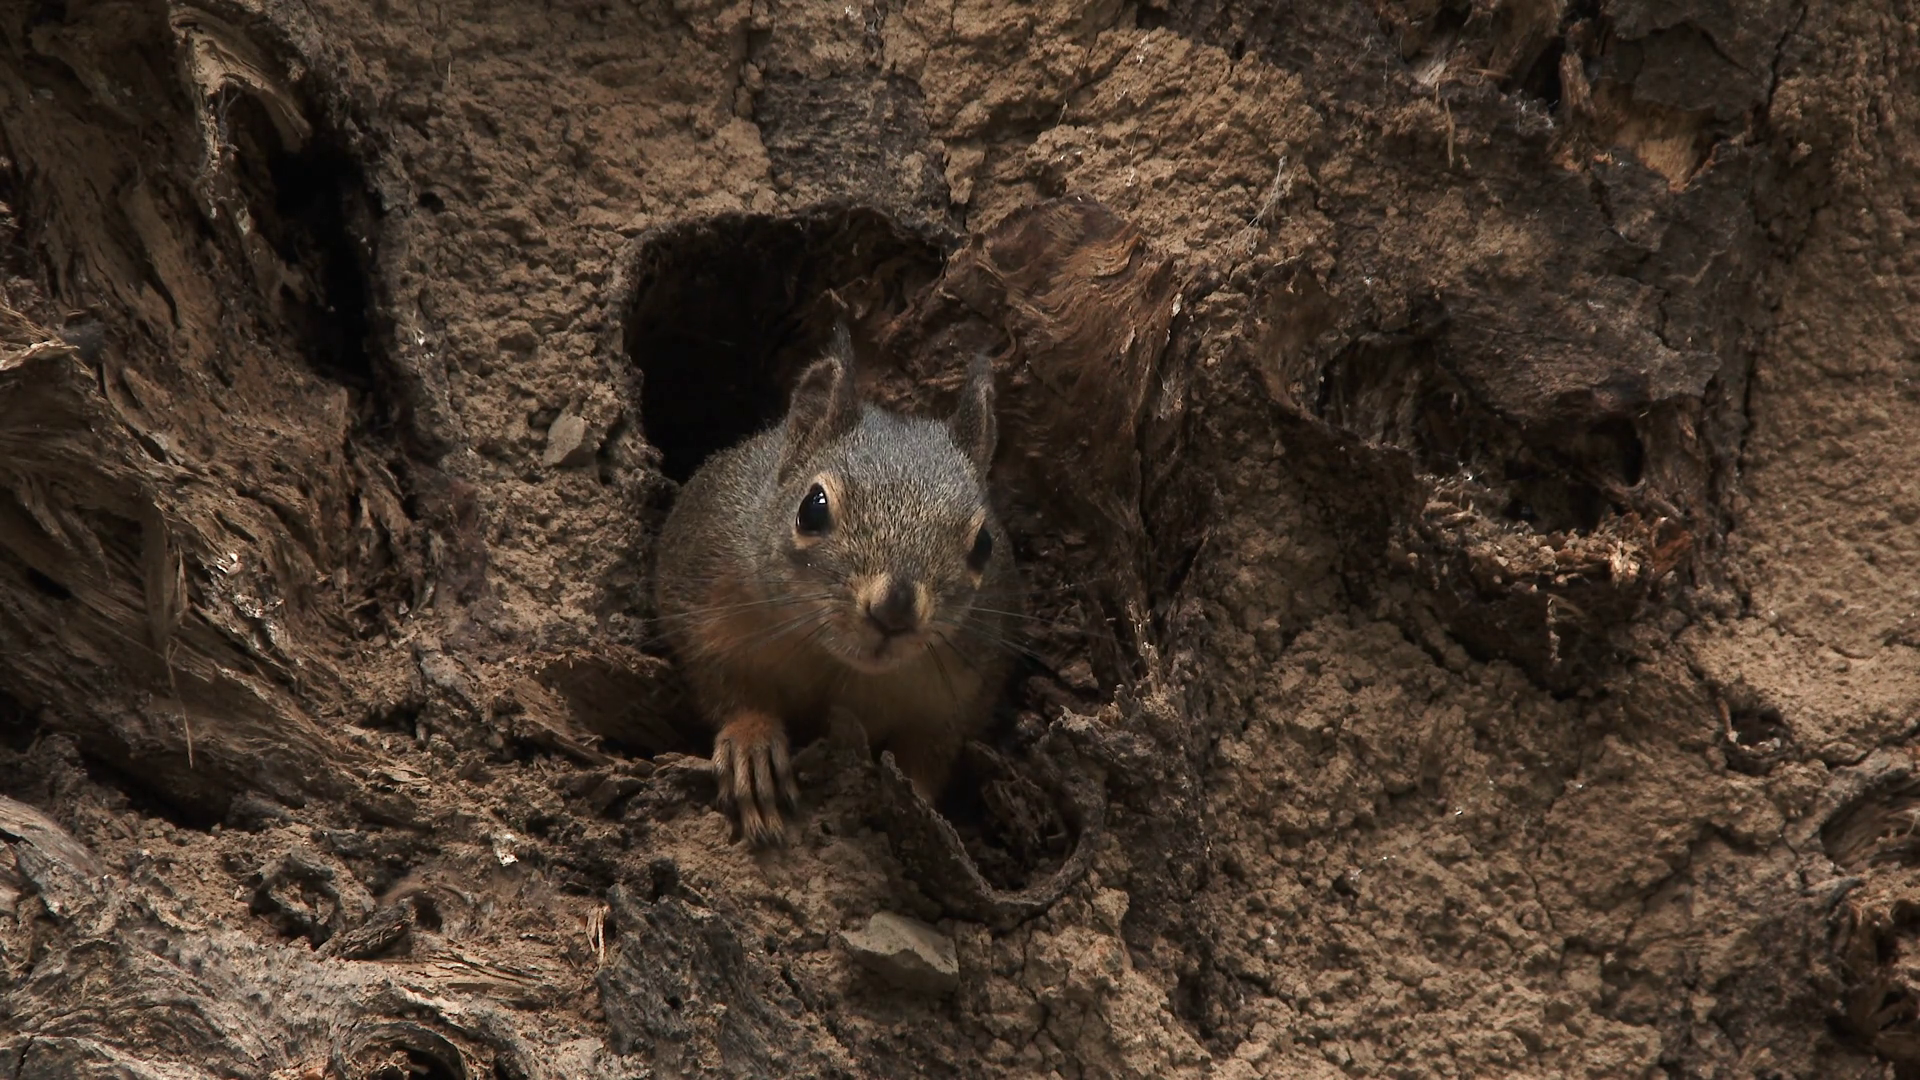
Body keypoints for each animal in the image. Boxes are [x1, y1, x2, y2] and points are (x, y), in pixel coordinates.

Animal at [654, 324, 1017, 846]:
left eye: (984, 544)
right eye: (812, 508)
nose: (894, 612)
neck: (831, 658)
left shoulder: (960, 691)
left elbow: (928, 755)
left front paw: (918, 808)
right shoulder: (703, 606)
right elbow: (727, 689)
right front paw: (751, 746)